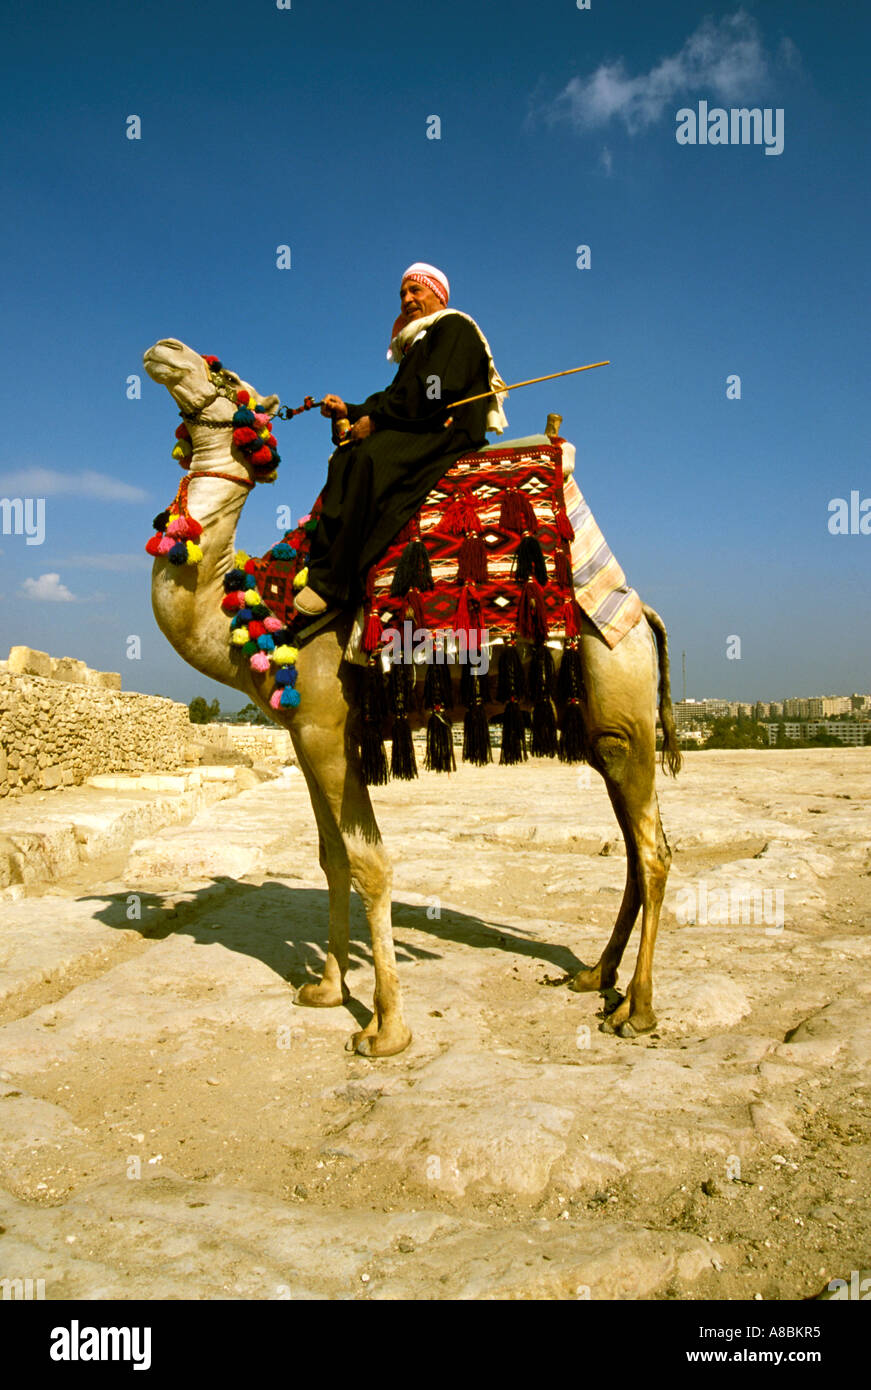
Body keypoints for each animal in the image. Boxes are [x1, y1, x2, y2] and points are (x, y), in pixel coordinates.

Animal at [143, 338, 681, 1057]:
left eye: (224, 372)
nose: (165, 350)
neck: (250, 608)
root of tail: (641, 615)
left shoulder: (326, 726)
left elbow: (368, 862)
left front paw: (384, 1029)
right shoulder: (305, 735)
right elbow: (331, 857)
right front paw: (325, 990)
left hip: (623, 712)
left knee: (653, 853)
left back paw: (638, 1009)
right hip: (602, 731)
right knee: (632, 848)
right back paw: (597, 976)